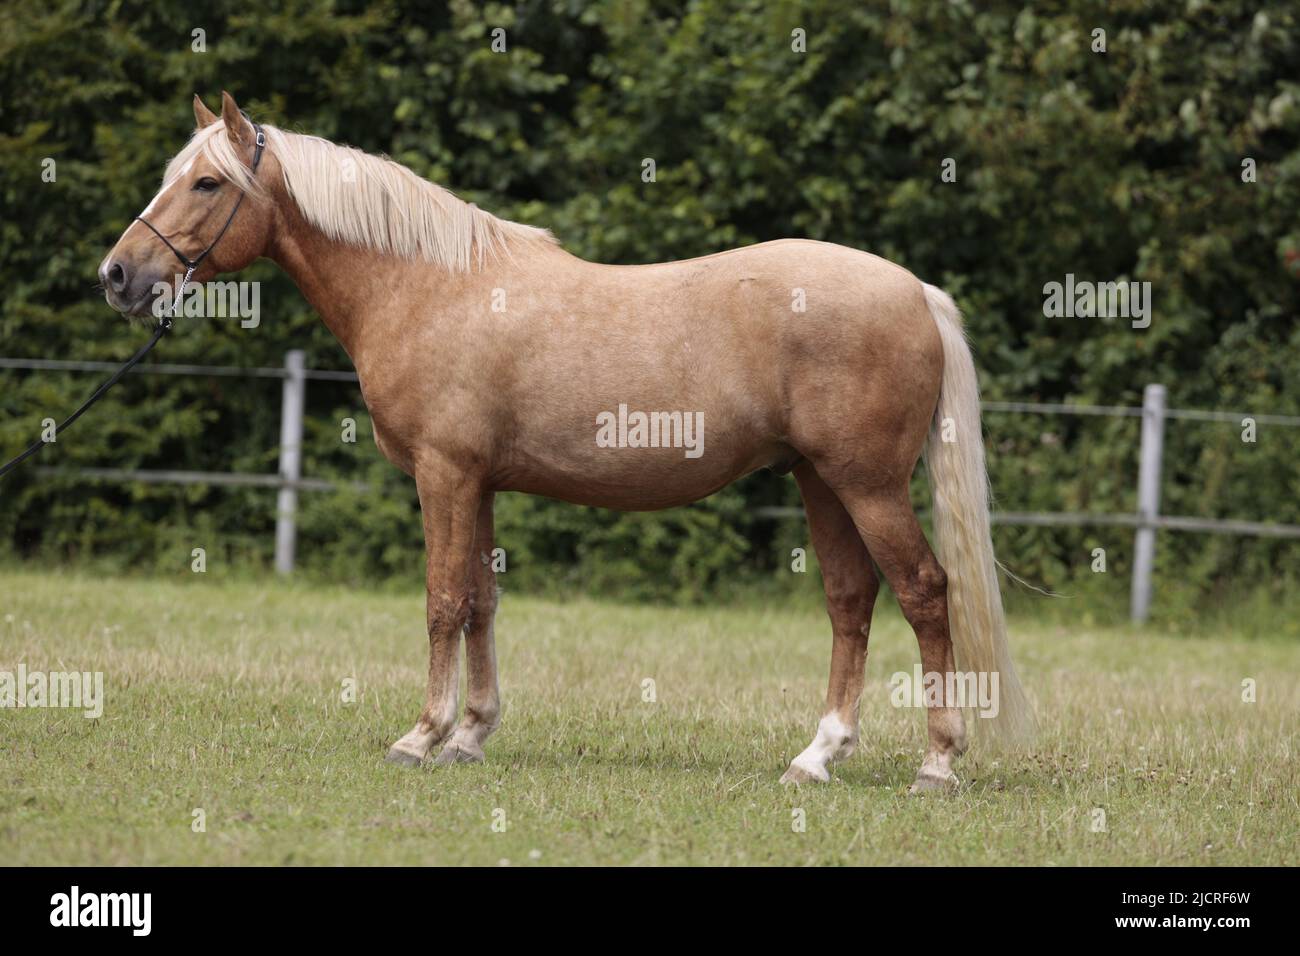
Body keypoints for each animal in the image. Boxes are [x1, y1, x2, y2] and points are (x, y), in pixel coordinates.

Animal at [100, 92, 1031, 792]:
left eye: (207, 183)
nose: (118, 276)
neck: (428, 286)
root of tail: (915, 290)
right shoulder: (478, 483)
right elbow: (481, 602)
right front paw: (470, 736)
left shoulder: (444, 474)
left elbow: (442, 602)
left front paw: (420, 735)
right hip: (819, 480)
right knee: (850, 599)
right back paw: (817, 755)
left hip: (866, 484)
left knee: (923, 593)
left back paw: (938, 763)